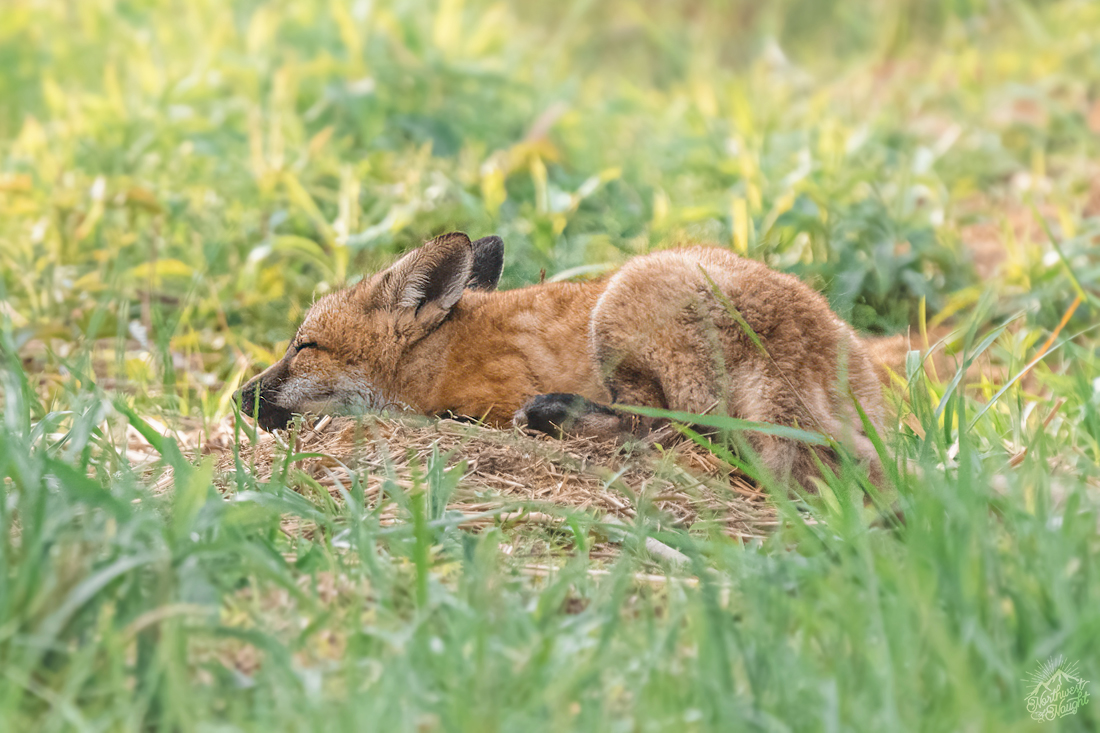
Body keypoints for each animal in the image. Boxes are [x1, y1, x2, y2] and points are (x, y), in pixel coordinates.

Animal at [237, 232, 891, 491]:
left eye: (304, 347)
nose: (239, 397)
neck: (441, 359)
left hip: (628, 296)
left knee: (675, 429)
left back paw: (554, 415)